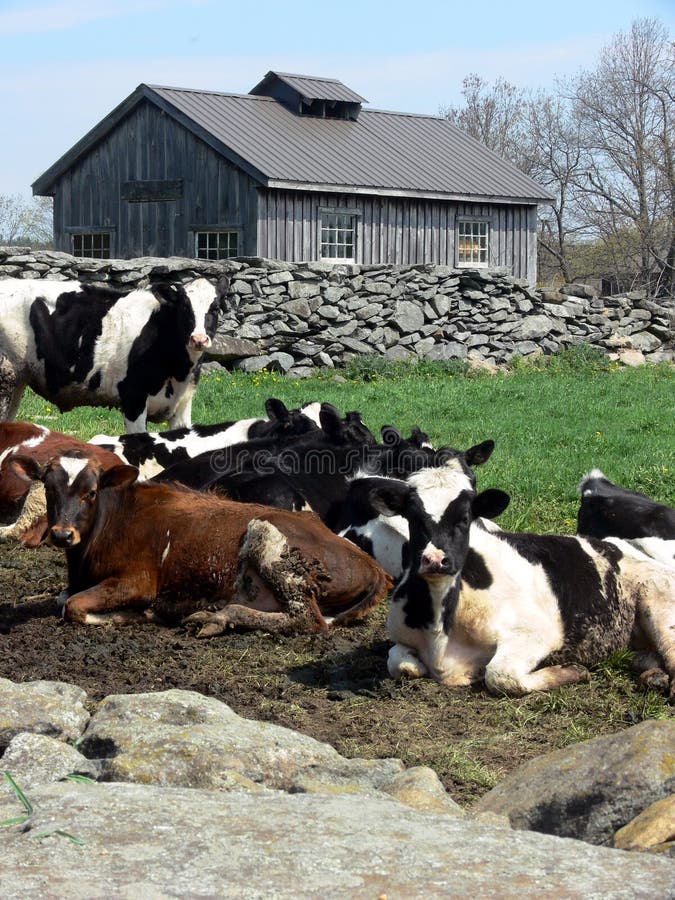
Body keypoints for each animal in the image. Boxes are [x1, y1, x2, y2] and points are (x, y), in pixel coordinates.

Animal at [0, 276, 228, 432]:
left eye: (215, 308)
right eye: (184, 307)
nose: (199, 339)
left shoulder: (183, 405)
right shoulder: (133, 397)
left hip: (19, 380)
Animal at [9, 452, 391, 635]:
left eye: (90, 493)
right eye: (49, 489)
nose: (62, 534)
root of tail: (372, 564)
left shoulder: (138, 581)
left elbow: (73, 606)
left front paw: (131, 615)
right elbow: (63, 598)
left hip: (267, 537)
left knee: (307, 621)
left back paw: (217, 616)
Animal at [369, 460, 675, 698]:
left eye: (465, 517)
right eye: (412, 517)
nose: (435, 560)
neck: (439, 631)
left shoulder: (536, 632)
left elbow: (499, 675)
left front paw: (571, 671)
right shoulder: (401, 636)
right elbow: (399, 663)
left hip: (659, 604)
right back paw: (654, 676)